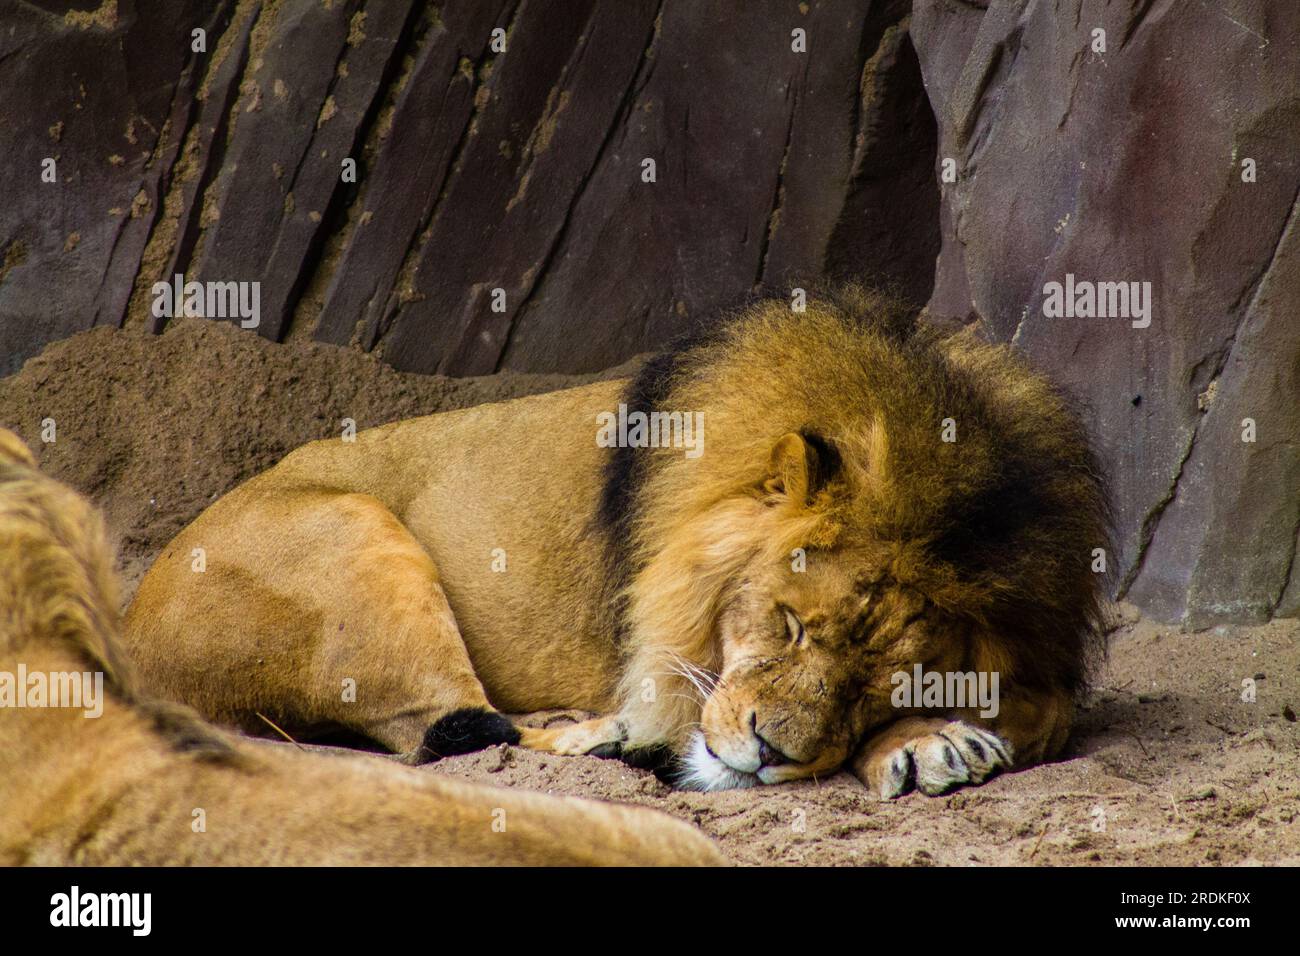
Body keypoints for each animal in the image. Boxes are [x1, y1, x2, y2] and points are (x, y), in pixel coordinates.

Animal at [123, 285, 1109, 799]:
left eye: (886, 682)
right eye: (788, 623)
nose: (768, 751)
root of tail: (132, 619)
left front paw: (925, 738)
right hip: (356, 536)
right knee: (451, 729)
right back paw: (609, 738)